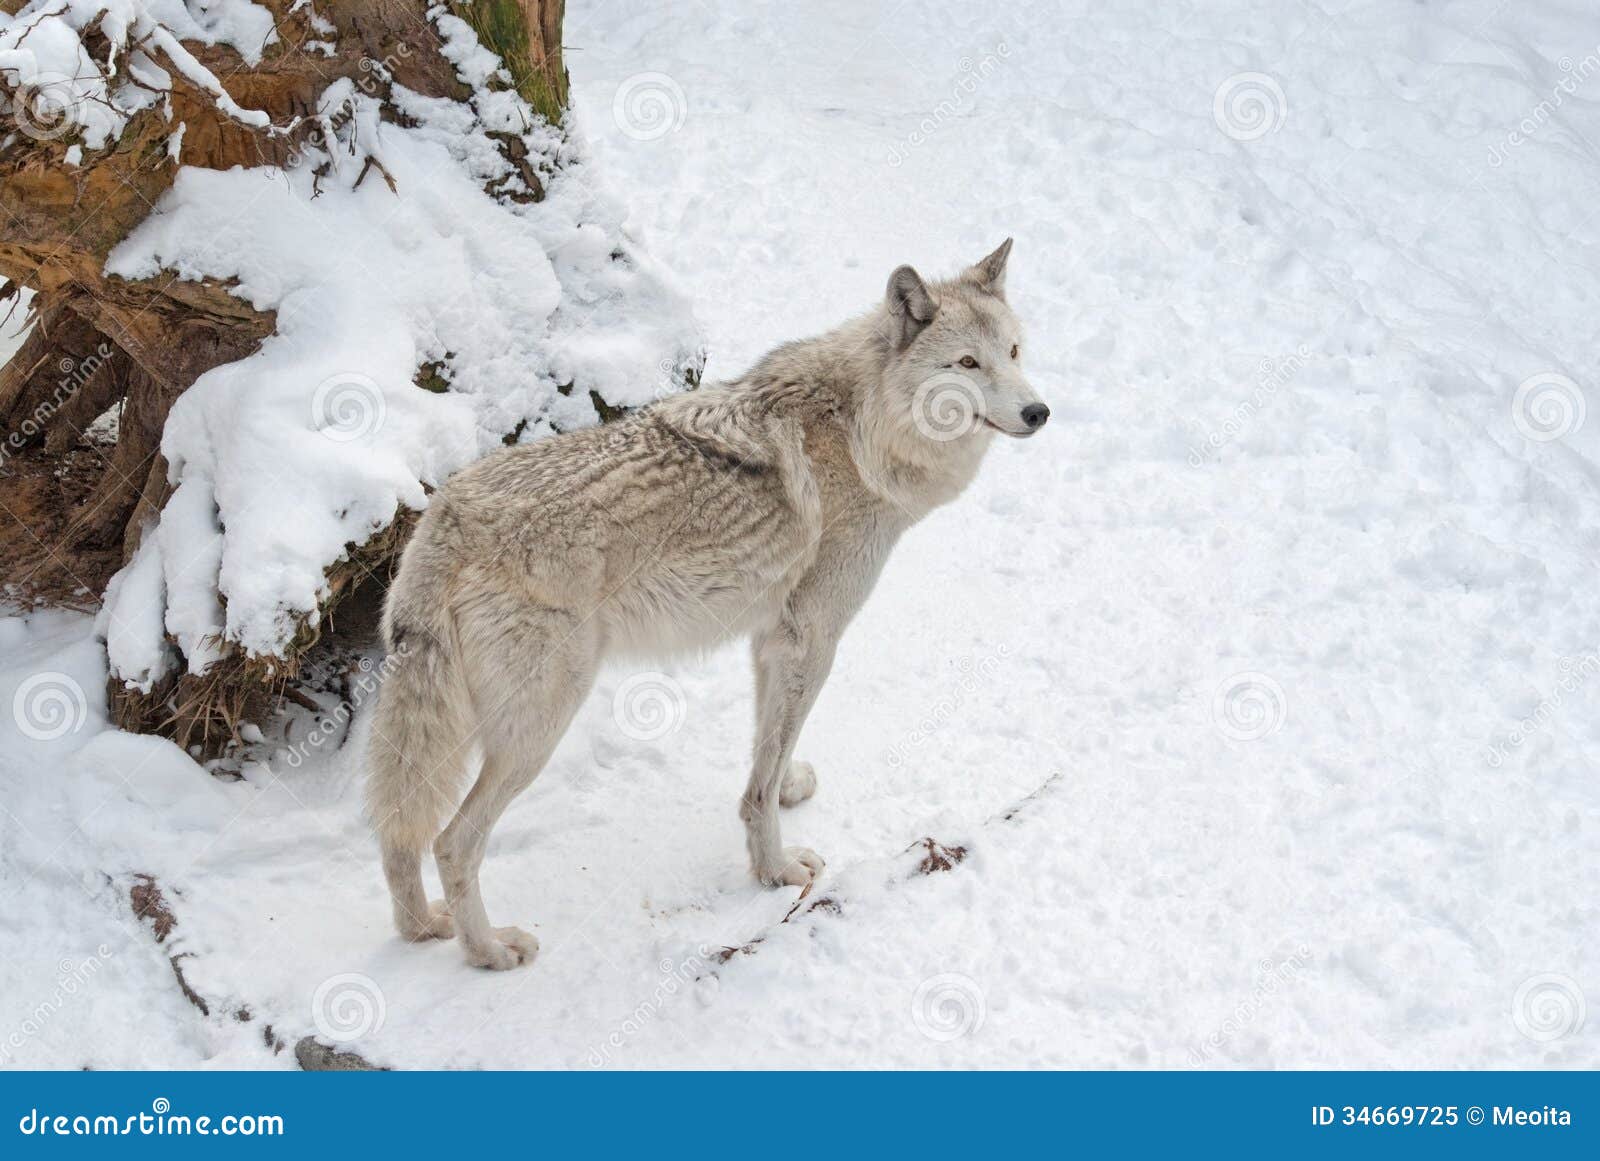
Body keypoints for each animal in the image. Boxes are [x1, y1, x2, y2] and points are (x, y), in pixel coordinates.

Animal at [365, 240, 1048, 968]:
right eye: (967, 364)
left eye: (1013, 351)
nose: (1039, 412)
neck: (865, 429)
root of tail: (446, 516)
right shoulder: (811, 638)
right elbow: (758, 785)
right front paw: (776, 873)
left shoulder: (770, 640)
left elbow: (768, 752)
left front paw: (787, 790)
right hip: (539, 725)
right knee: (451, 840)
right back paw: (489, 951)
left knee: (399, 831)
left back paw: (422, 927)